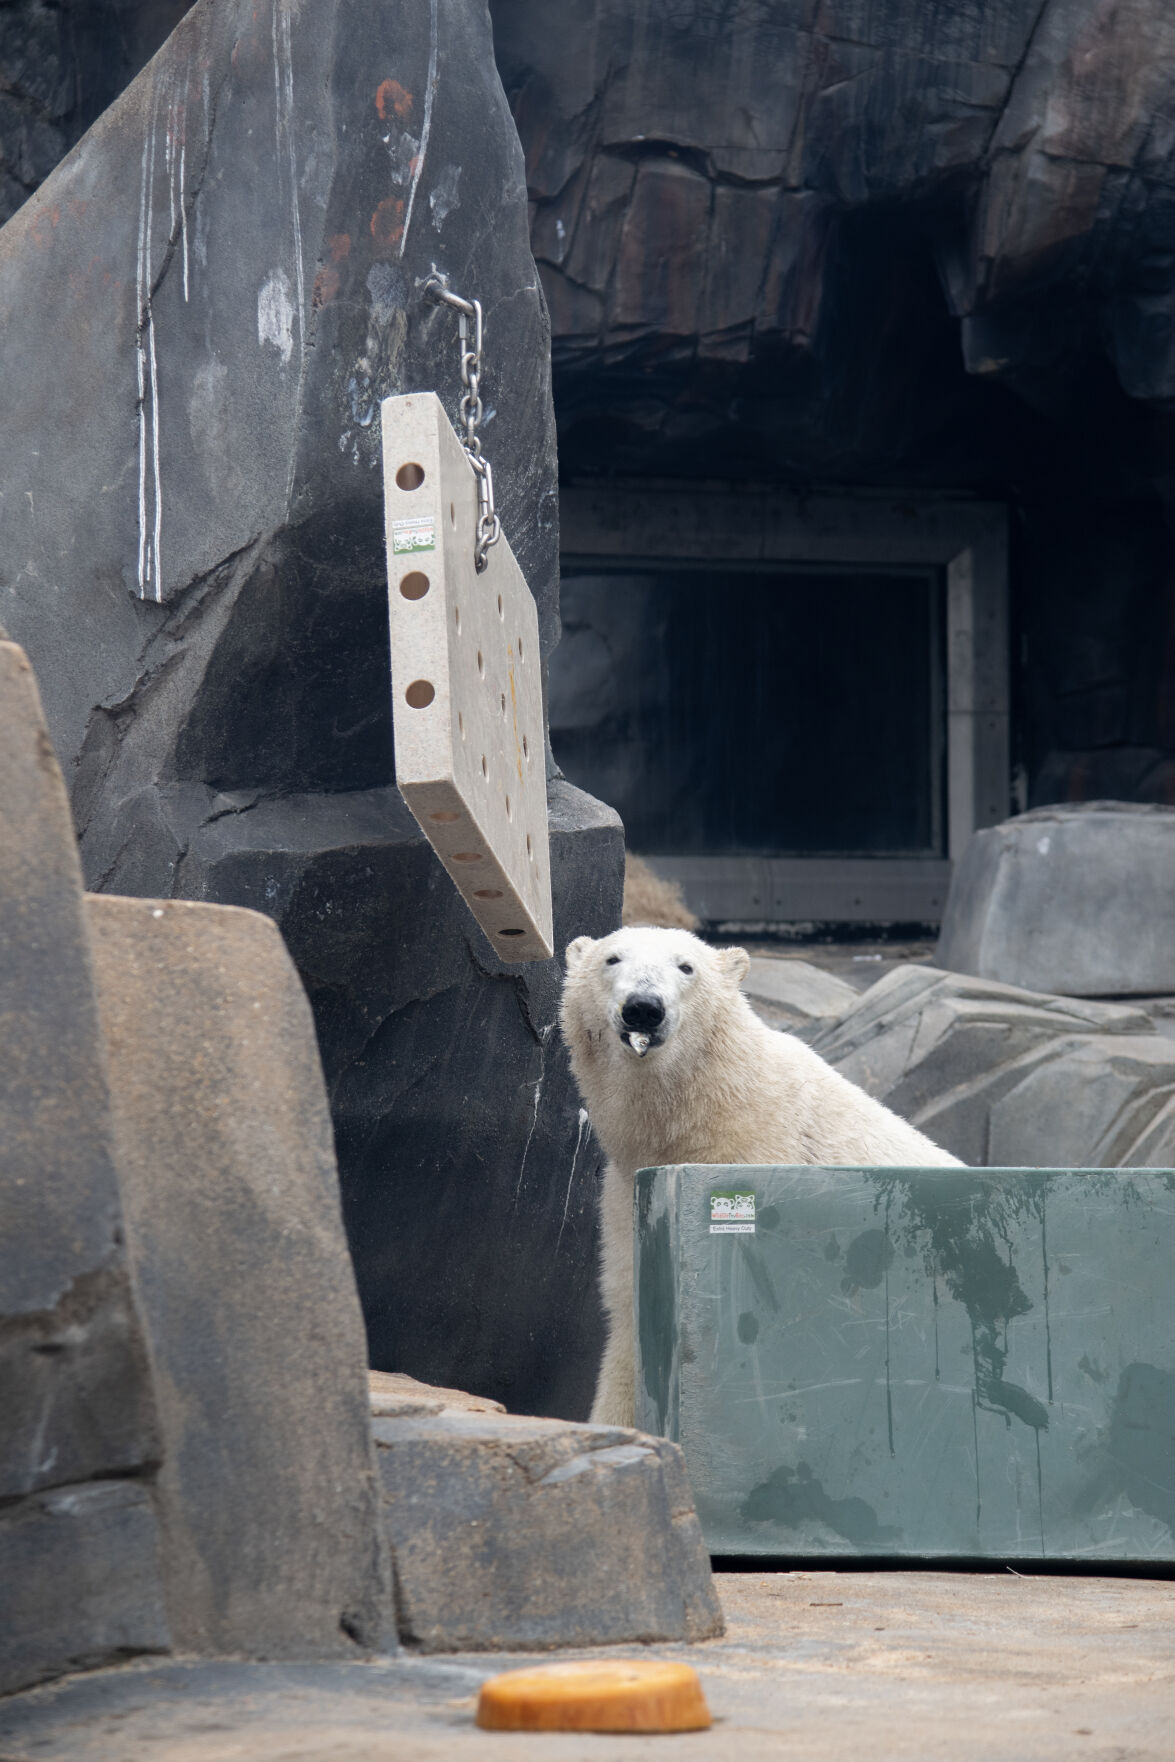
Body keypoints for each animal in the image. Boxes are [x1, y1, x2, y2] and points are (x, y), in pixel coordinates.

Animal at [560, 925, 962, 1428]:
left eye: (686, 966)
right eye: (612, 959)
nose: (644, 1007)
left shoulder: (757, 1158)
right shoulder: (627, 1194)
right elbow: (633, 1315)